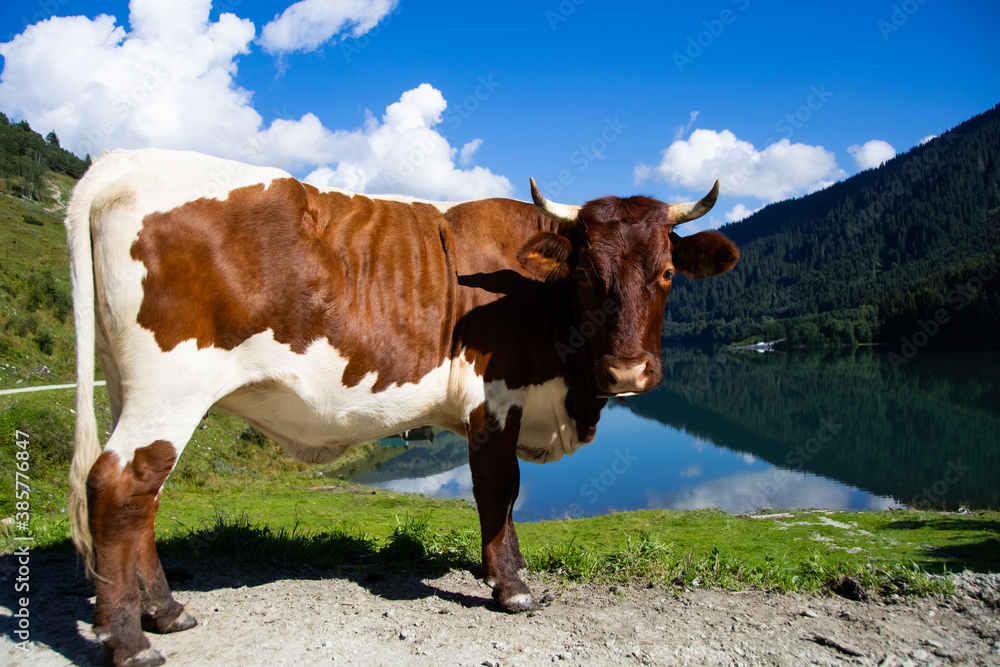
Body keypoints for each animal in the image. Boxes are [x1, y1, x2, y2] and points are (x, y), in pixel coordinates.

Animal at [65, 148, 738, 666]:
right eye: (587, 276)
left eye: (668, 273)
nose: (627, 371)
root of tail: (126, 161)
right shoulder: (496, 402)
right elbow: (500, 490)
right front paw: (511, 587)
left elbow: (505, 496)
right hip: (169, 389)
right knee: (118, 488)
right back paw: (131, 642)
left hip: (133, 390)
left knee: (144, 496)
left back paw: (166, 611)